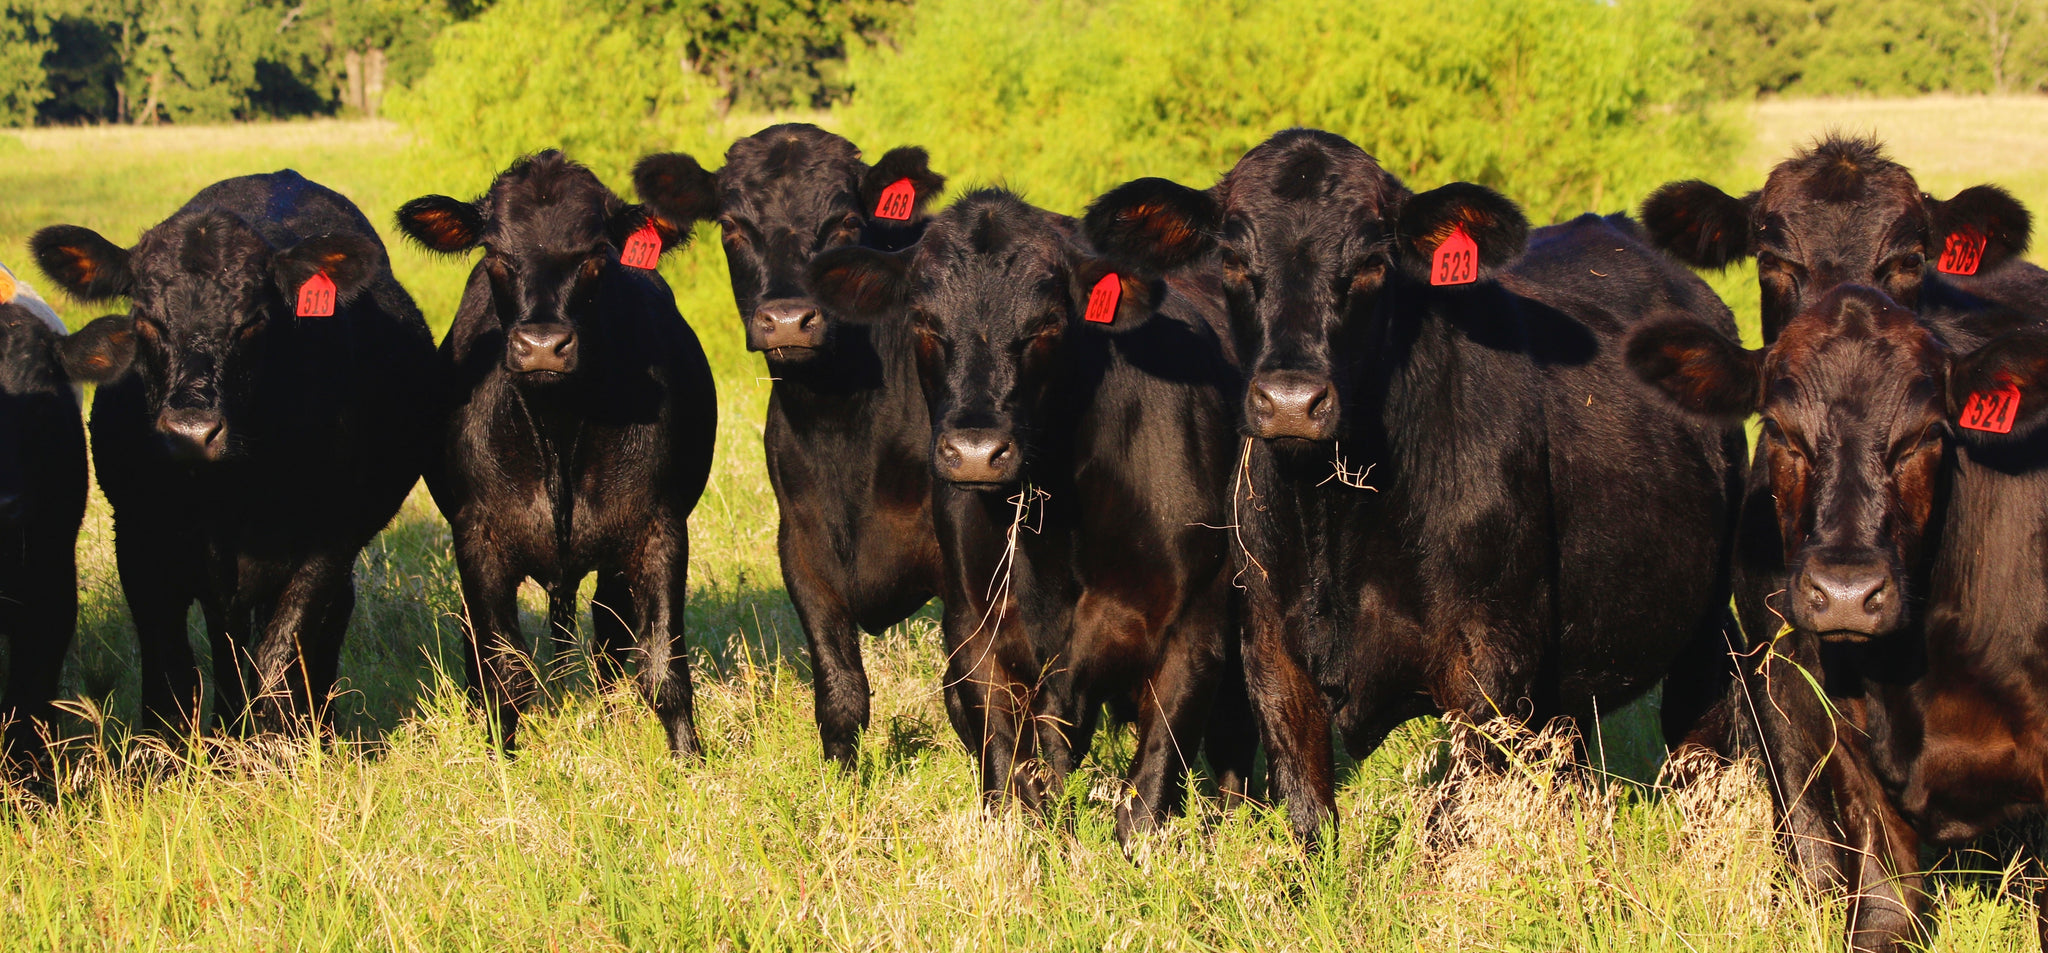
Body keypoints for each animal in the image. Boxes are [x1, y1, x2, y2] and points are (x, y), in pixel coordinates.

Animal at [30, 170, 438, 736]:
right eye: (145, 319)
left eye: (253, 321)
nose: (191, 431)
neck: (228, 496)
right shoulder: (137, 535)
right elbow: (172, 666)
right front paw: (168, 748)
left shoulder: (331, 539)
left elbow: (279, 654)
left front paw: (272, 746)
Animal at [397, 150, 717, 757]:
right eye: (495, 254)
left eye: (595, 255)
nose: (542, 345)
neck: (557, 433)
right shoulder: (477, 536)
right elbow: (504, 671)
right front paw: (501, 761)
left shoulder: (659, 529)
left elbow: (663, 668)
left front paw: (689, 762)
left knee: (610, 639)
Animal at [629, 124, 947, 766]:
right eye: (732, 226)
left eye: (846, 222)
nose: (787, 319)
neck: (842, 424)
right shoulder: (800, 544)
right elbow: (841, 690)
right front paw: (842, 780)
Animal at [808, 189, 1255, 839]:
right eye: (924, 322)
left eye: (1047, 325)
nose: (975, 450)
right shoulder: (977, 628)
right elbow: (1007, 773)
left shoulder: (1193, 629)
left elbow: (1147, 796)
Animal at [1081, 128, 1748, 845]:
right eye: (1232, 257)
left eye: (1373, 260)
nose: (1291, 401)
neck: (1335, 510)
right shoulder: (1273, 656)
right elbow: (1310, 815)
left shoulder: (1489, 667)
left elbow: (1448, 825)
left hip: (1708, 626)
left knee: (1701, 744)